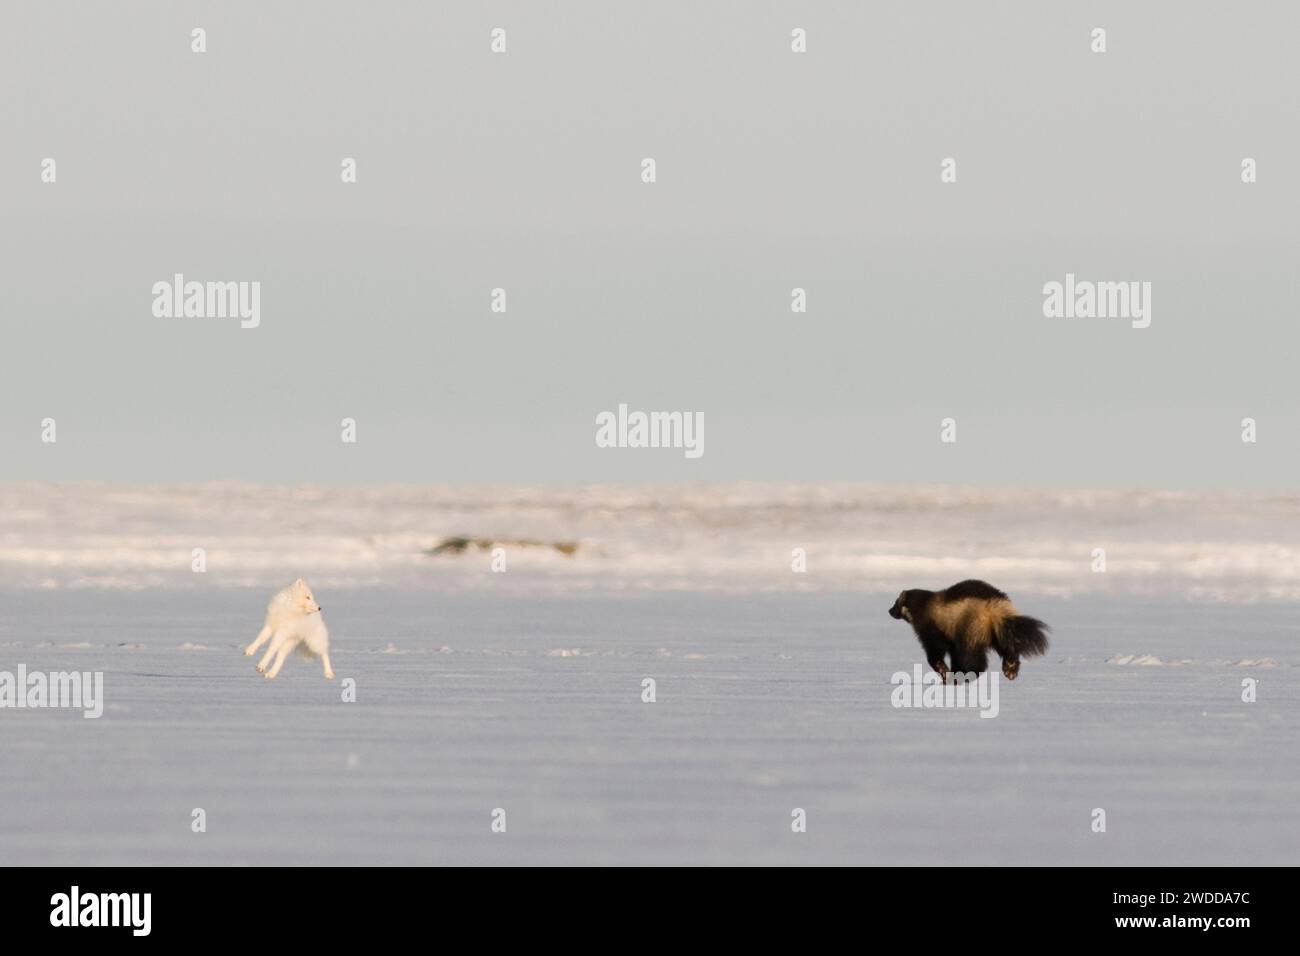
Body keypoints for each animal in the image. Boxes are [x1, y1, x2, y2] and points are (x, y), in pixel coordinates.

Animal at [888, 579, 1049, 681]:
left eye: (896, 603)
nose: (889, 611)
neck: (925, 606)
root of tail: (994, 606)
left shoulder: (932, 628)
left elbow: (935, 652)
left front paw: (944, 671)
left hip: (971, 628)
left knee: (972, 657)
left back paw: (964, 676)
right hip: (996, 629)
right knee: (1006, 646)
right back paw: (1010, 669)